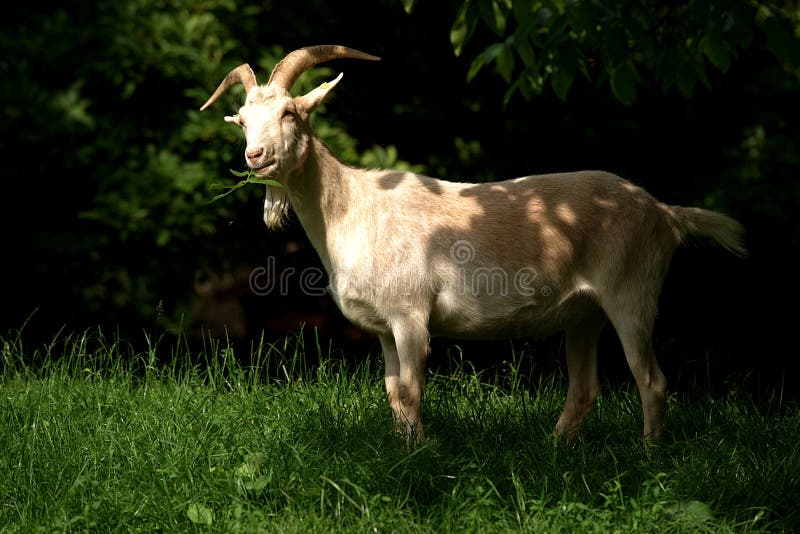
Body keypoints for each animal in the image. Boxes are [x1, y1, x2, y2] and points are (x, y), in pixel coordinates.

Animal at [201, 45, 746, 444]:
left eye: (291, 112)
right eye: (243, 120)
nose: (256, 156)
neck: (354, 209)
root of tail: (664, 213)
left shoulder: (410, 317)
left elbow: (411, 393)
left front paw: (418, 458)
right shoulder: (383, 328)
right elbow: (393, 394)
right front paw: (400, 452)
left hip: (633, 293)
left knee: (651, 382)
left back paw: (649, 457)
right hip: (585, 313)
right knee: (584, 389)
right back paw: (554, 450)